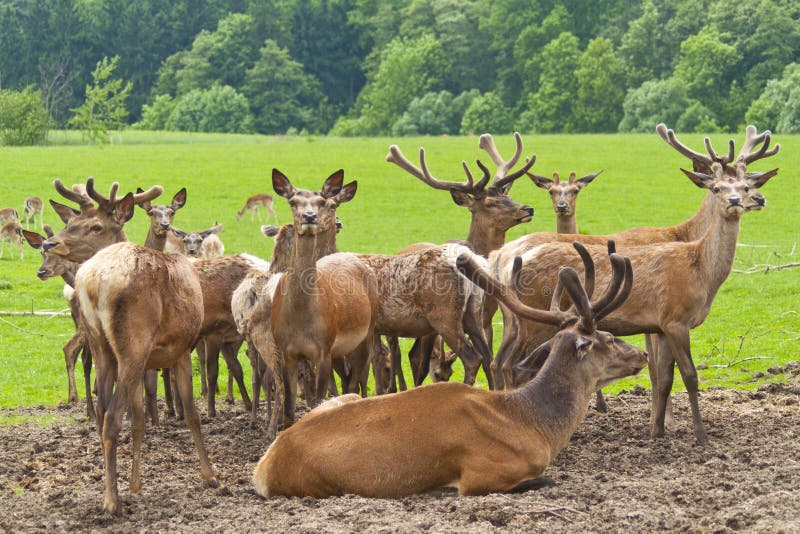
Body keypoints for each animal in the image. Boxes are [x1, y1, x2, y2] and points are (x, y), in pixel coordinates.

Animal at [41, 178, 218, 515]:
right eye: (70, 223)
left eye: (95, 226)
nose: (48, 244)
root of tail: (93, 279)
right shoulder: (180, 350)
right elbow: (191, 413)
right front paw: (211, 476)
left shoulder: (148, 361)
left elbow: (138, 421)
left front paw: (137, 485)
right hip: (131, 346)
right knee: (111, 418)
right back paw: (112, 502)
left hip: (104, 348)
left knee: (101, 412)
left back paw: (110, 492)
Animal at [252, 244, 647, 499]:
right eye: (607, 338)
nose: (641, 353)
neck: (533, 425)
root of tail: (263, 468)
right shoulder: (483, 472)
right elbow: (545, 480)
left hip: (343, 397)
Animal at [384, 133, 536, 390]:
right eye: (490, 203)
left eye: (508, 195)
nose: (528, 209)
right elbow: (423, 362)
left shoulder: (485, 319)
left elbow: (489, 360)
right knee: (405, 354)